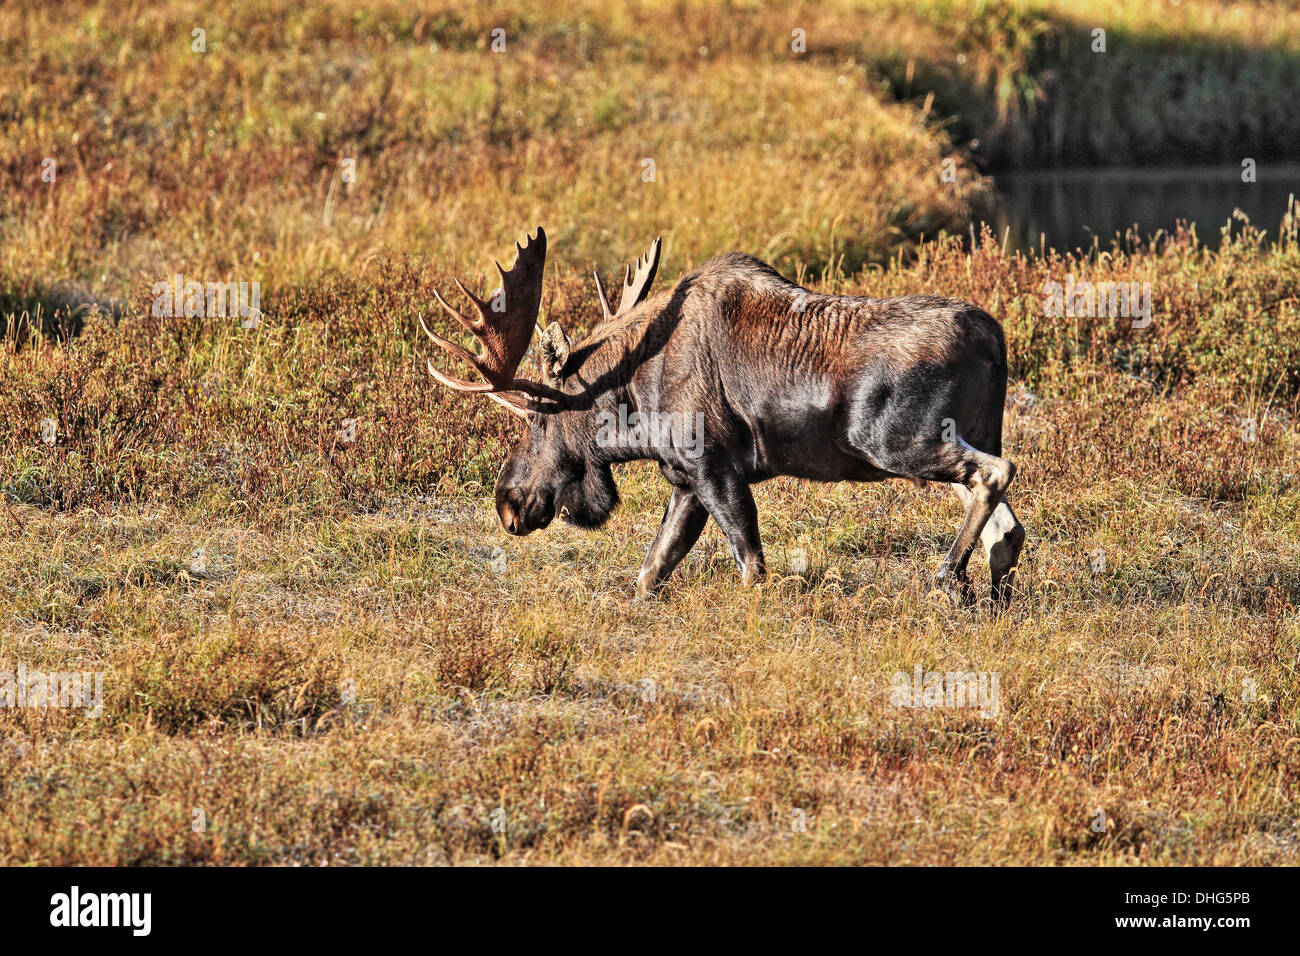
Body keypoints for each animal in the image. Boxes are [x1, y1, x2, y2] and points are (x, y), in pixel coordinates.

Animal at [418, 228, 1025, 606]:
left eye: (538, 417)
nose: (508, 504)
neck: (634, 402)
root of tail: (997, 340)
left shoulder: (712, 465)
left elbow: (752, 566)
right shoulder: (686, 480)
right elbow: (651, 571)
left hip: (897, 442)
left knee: (998, 473)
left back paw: (946, 578)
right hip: (964, 435)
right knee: (1008, 527)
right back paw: (989, 593)